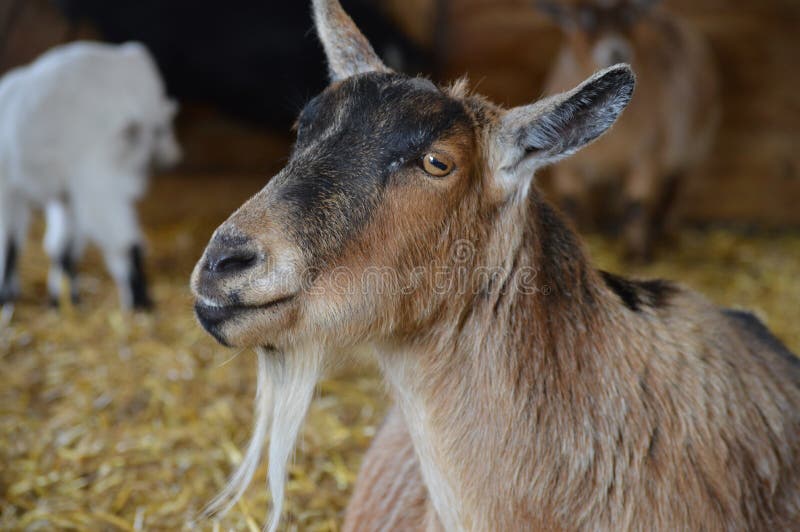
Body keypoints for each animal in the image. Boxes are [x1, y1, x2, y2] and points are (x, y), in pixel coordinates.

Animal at [0, 41, 180, 309]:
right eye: (162, 131)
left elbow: (16, 244)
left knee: (122, 239)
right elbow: (60, 247)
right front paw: (63, 299)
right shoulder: (67, 192)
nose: (173, 155)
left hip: (95, 178)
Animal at [538, 0, 719, 261]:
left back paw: (664, 232)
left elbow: (637, 204)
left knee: (675, 191)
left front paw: (638, 255)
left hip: (695, 147)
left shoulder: (648, 155)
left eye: (629, 19)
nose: (616, 50)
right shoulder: (567, 167)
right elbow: (573, 203)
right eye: (584, 21)